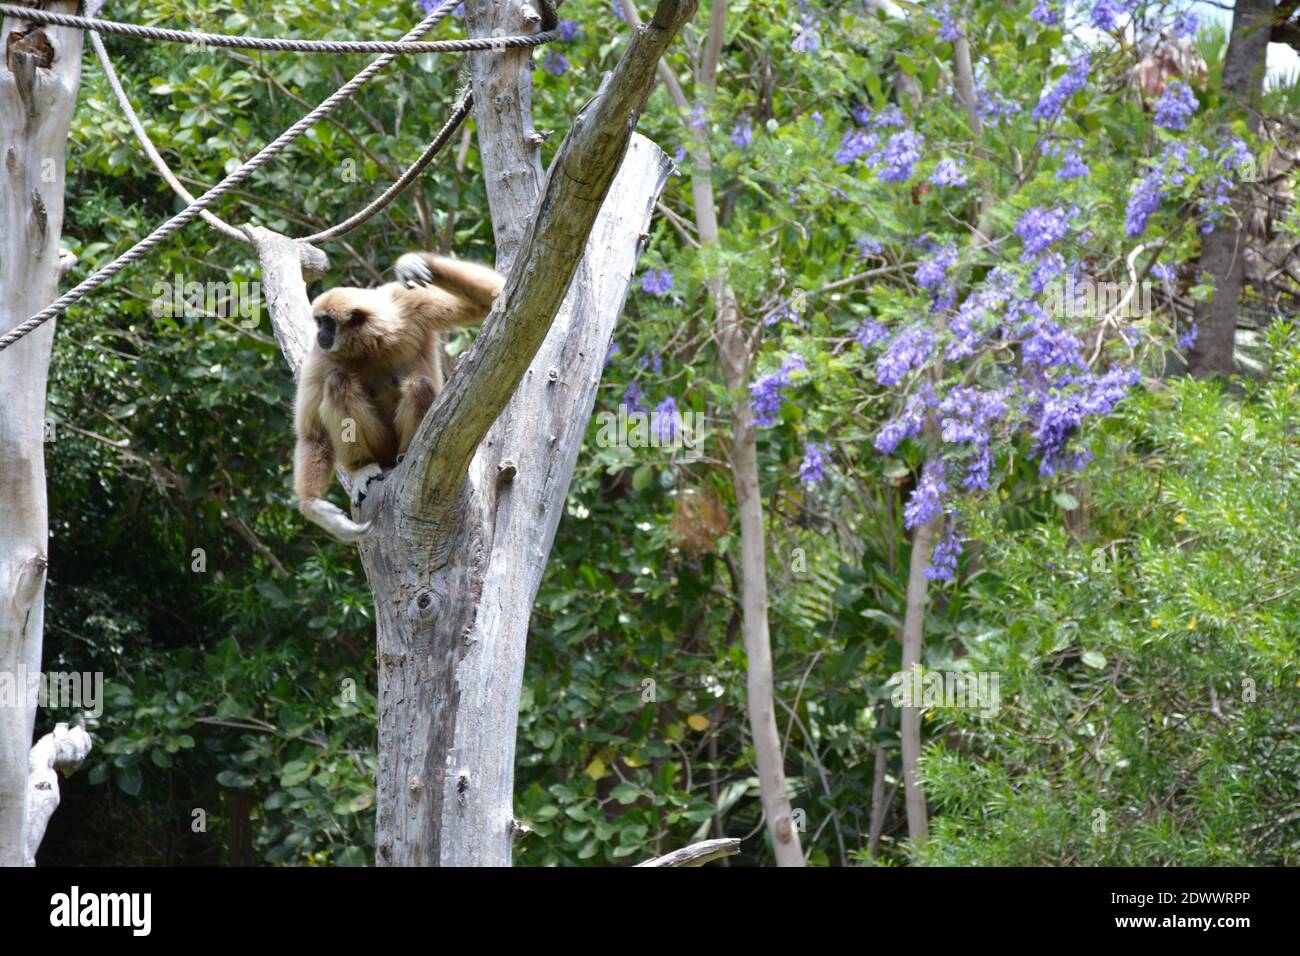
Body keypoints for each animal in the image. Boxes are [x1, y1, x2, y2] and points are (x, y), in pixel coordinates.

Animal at [294, 252, 505, 542]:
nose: (321, 333)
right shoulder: (321, 357)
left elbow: (493, 296)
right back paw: (362, 467)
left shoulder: (407, 305)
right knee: (338, 383)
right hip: (381, 444)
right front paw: (315, 509)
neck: (368, 347)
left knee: (419, 384)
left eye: (328, 322)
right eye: (319, 322)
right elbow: (312, 435)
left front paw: (412, 262)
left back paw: (406, 454)